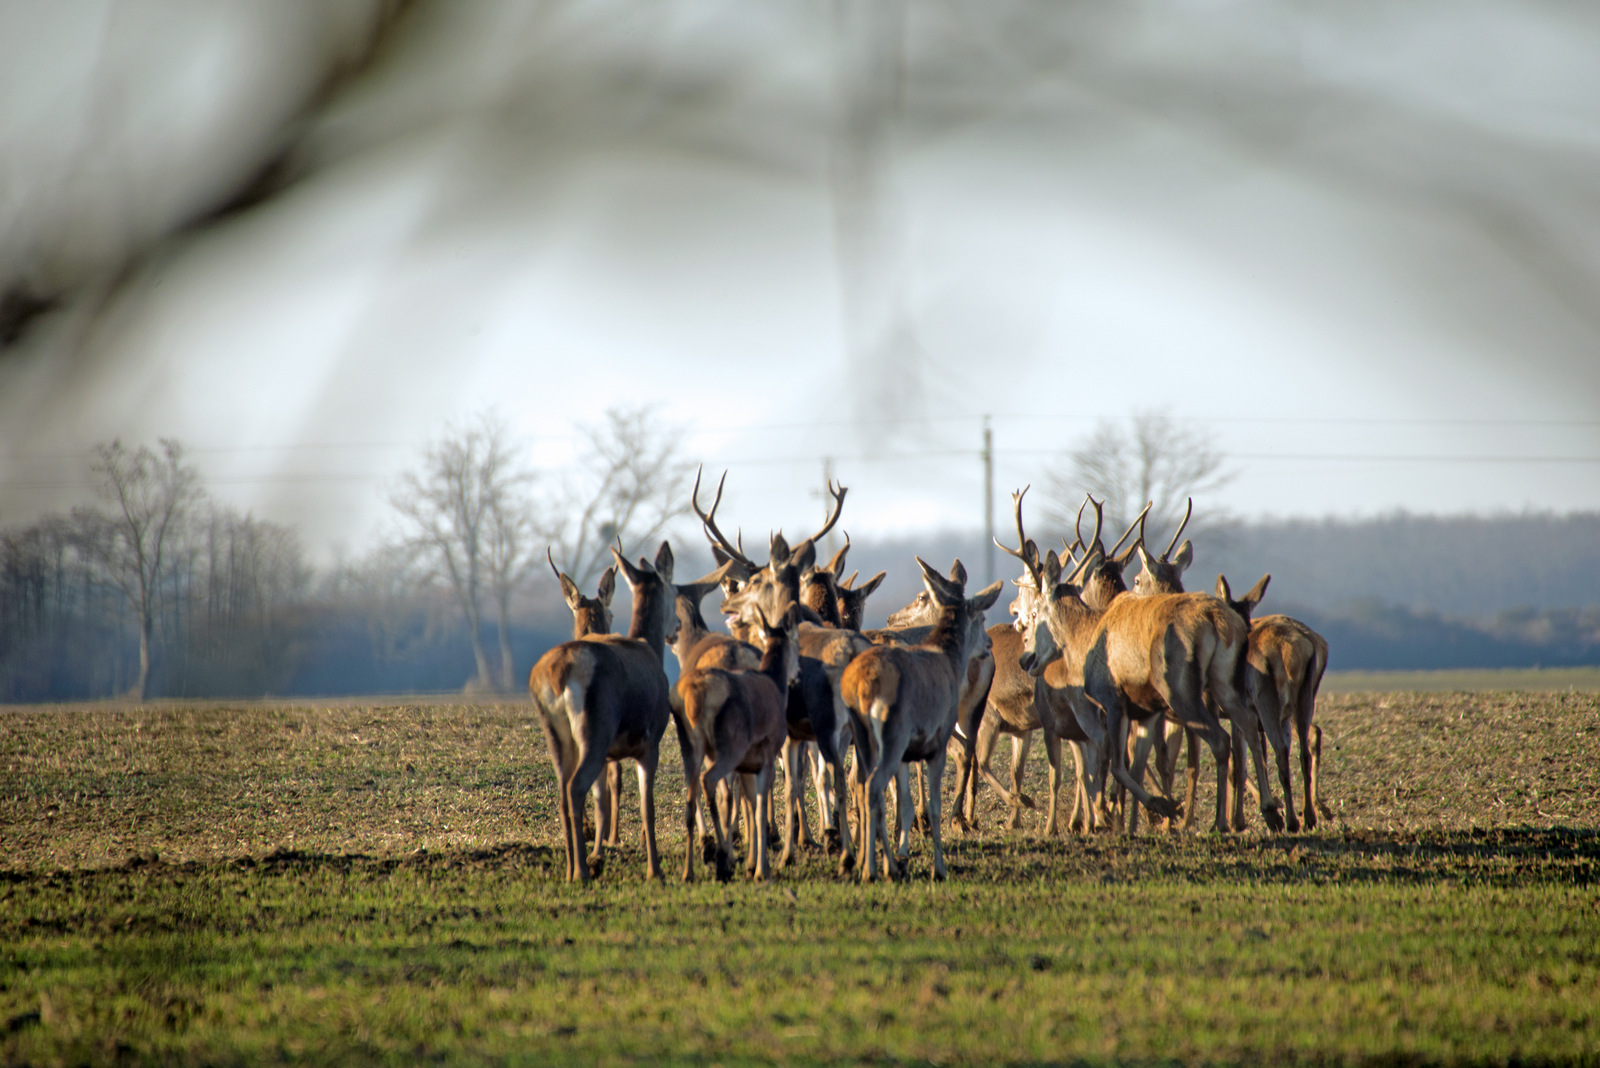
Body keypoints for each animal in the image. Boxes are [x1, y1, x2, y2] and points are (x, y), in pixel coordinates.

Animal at [528, 543, 672, 882]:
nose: (675, 629)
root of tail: (558, 673)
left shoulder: (612, 752)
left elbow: (603, 800)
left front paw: (600, 853)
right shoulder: (650, 742)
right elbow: (647, 807)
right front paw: (655, 871)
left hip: (558, 734)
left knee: (564, 793)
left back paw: (573, 868)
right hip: (594, 728)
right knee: (576, 787)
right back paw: (581, 872)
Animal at [675, 604, 800, 882]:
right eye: (797, 642)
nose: (797, 676)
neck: (776, 688)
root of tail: (696, 696)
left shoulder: (746, 764)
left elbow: (750, 803)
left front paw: (752, 864)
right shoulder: (766, 755)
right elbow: (759, 806)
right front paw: (762, 870)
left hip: (690, 746)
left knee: (691, 797)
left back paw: (690, 870)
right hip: (730, 747)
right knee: (709, 781)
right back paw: (723, 860)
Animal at [1216, 575, 1331, 831]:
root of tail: (1293, 651)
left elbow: (1238, 762)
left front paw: (1236, 821)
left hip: (1267, 703)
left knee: (1280, 751)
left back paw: (1291, 820)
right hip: (1302, 701)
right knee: (1303, 750)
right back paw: (1309, 815)